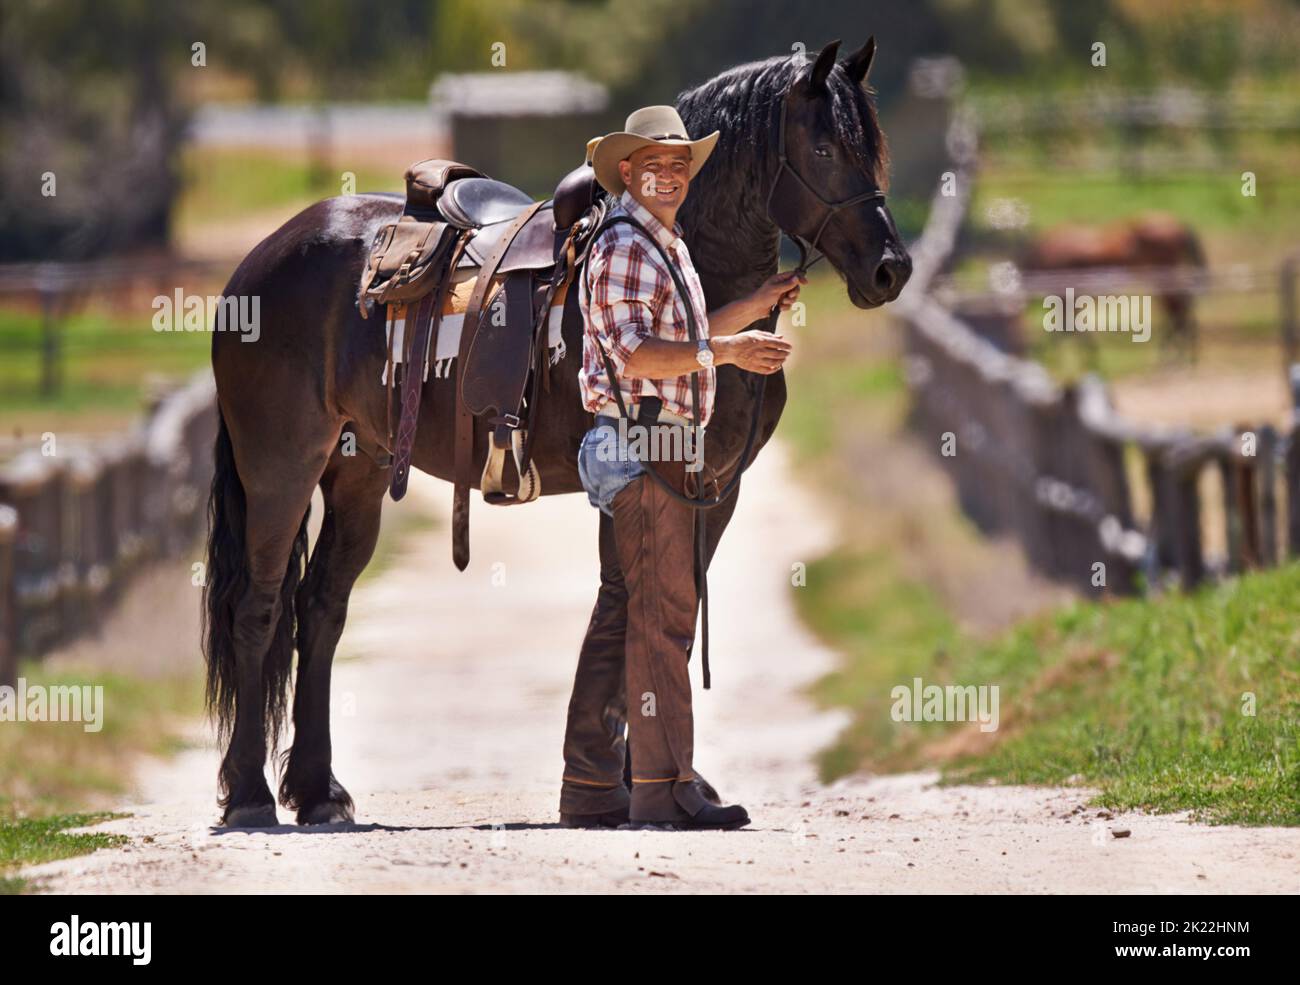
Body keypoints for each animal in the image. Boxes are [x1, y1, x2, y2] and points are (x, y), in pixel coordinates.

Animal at [203, 38, 912, 827]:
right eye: (822, 147)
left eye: (871, 147)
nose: (892, 268)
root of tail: (262, 260)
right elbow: (640, 608)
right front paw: (639, 790)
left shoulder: (714, 489)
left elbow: (665, 611)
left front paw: (659, 786)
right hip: (281, 468)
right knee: (259, 606)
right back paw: (250, 795)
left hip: (358, 471)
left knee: (321, 608)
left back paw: (318, 791)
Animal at [1022, 212, 1206, 358]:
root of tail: (1178, 224)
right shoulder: (1070, 294)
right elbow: (1070, 324)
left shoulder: (1065, 293)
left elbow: (1067, 325)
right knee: (1180, 307)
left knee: (1179, 308)